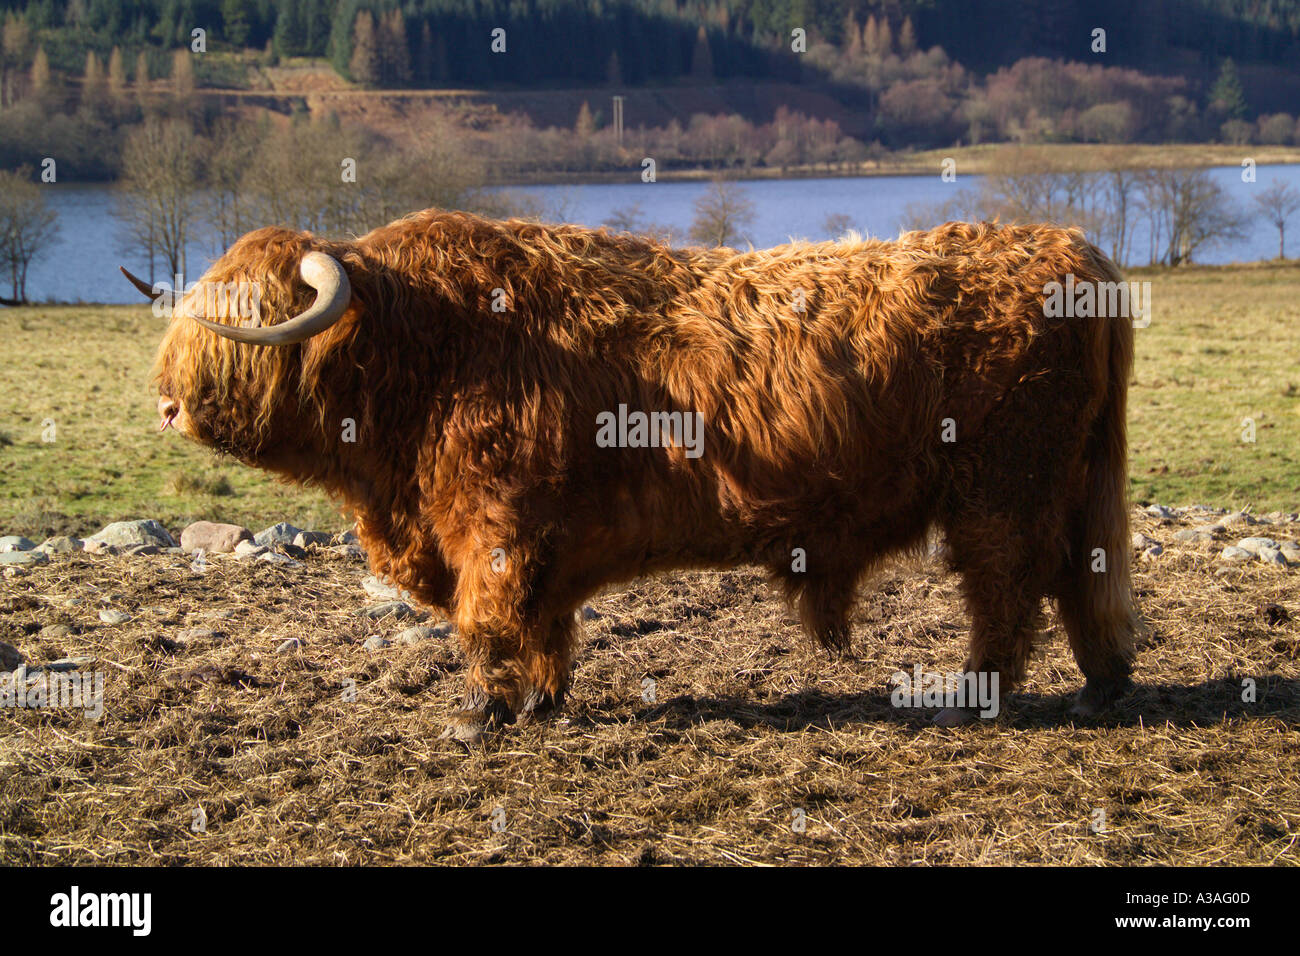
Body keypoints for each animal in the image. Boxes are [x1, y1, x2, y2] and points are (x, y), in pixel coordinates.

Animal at [125, 211, 1138, 742]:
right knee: (1079, 576)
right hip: (1068, 481)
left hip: (1003, 486)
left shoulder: (493, 524)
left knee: (1006, 585)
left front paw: (479, 717)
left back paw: (977, 698)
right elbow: (545, 625)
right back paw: (1102, 685)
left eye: (248, 309)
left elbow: (489, 620)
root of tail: (1071, 248)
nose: (167, 405)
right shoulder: (540, 538)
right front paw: (541, 701)